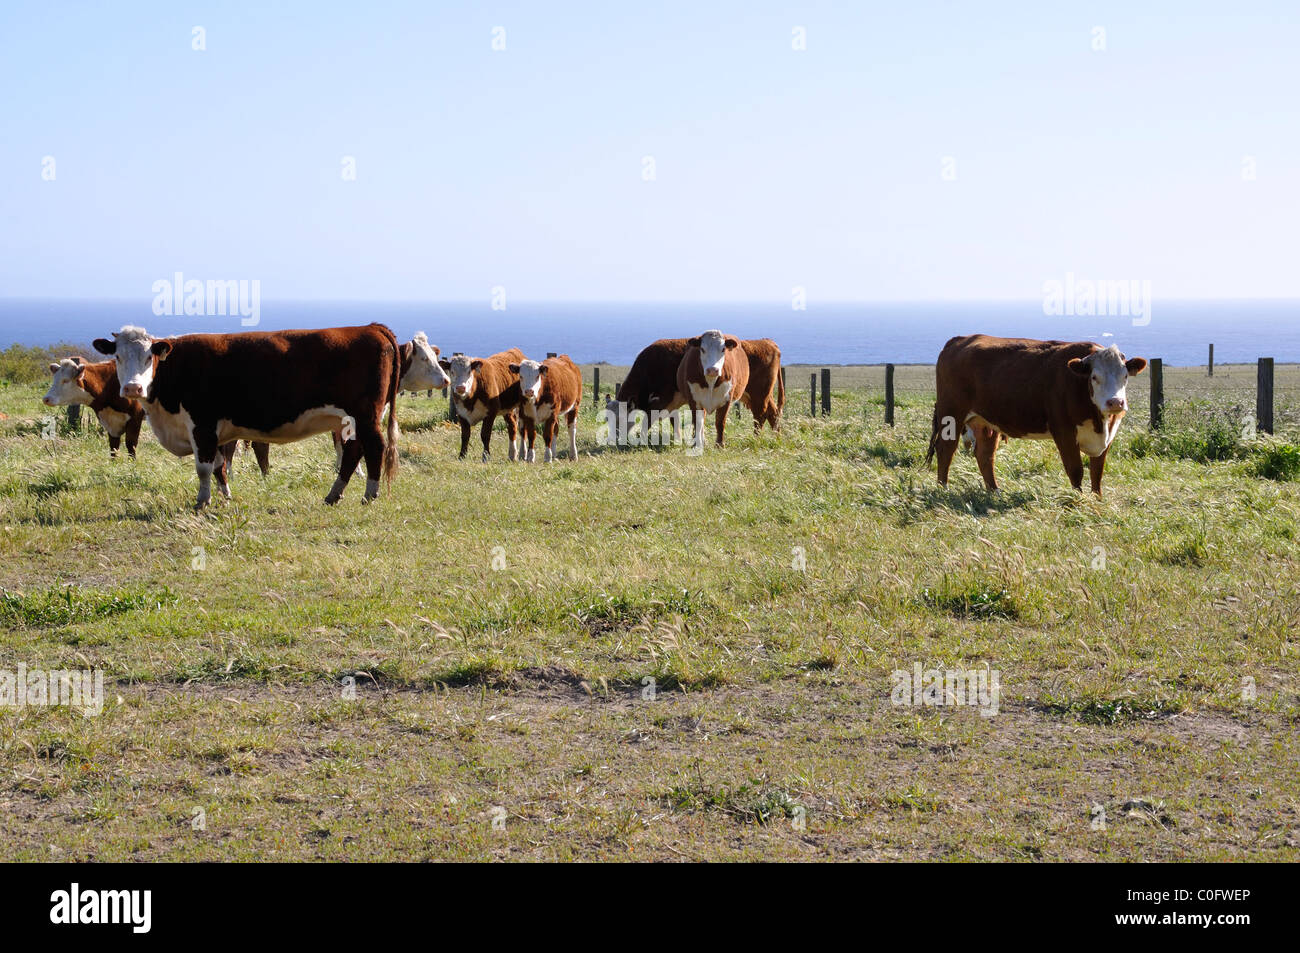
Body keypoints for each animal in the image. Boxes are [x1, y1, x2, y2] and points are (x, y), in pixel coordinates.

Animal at [93, 324, 400, 508]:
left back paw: (369, 494)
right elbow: (219, 466)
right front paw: (225, 496)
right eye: (118, 357)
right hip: (354, 419)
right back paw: (334, 495)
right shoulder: (214, 431)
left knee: (374, 447)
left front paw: (202, 501)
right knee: (354, 451)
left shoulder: (202, 425)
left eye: (149, 358)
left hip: (366, 415)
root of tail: (371, 328)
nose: (132, 387)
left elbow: (203, 467)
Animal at [926, 334, 1148, 496]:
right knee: (946, 450)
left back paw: (994, 491)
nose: (1115, 402)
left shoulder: (1107, 437)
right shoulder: (1064, 432)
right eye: (1094, 377)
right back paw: (943, 489)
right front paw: (1078, 500)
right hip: (951, 414)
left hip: (986, 421)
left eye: (1125, 376)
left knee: (985, 455)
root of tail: (960, 339)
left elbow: (1097, 472)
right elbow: (1076, 470)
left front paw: (1097, 499)